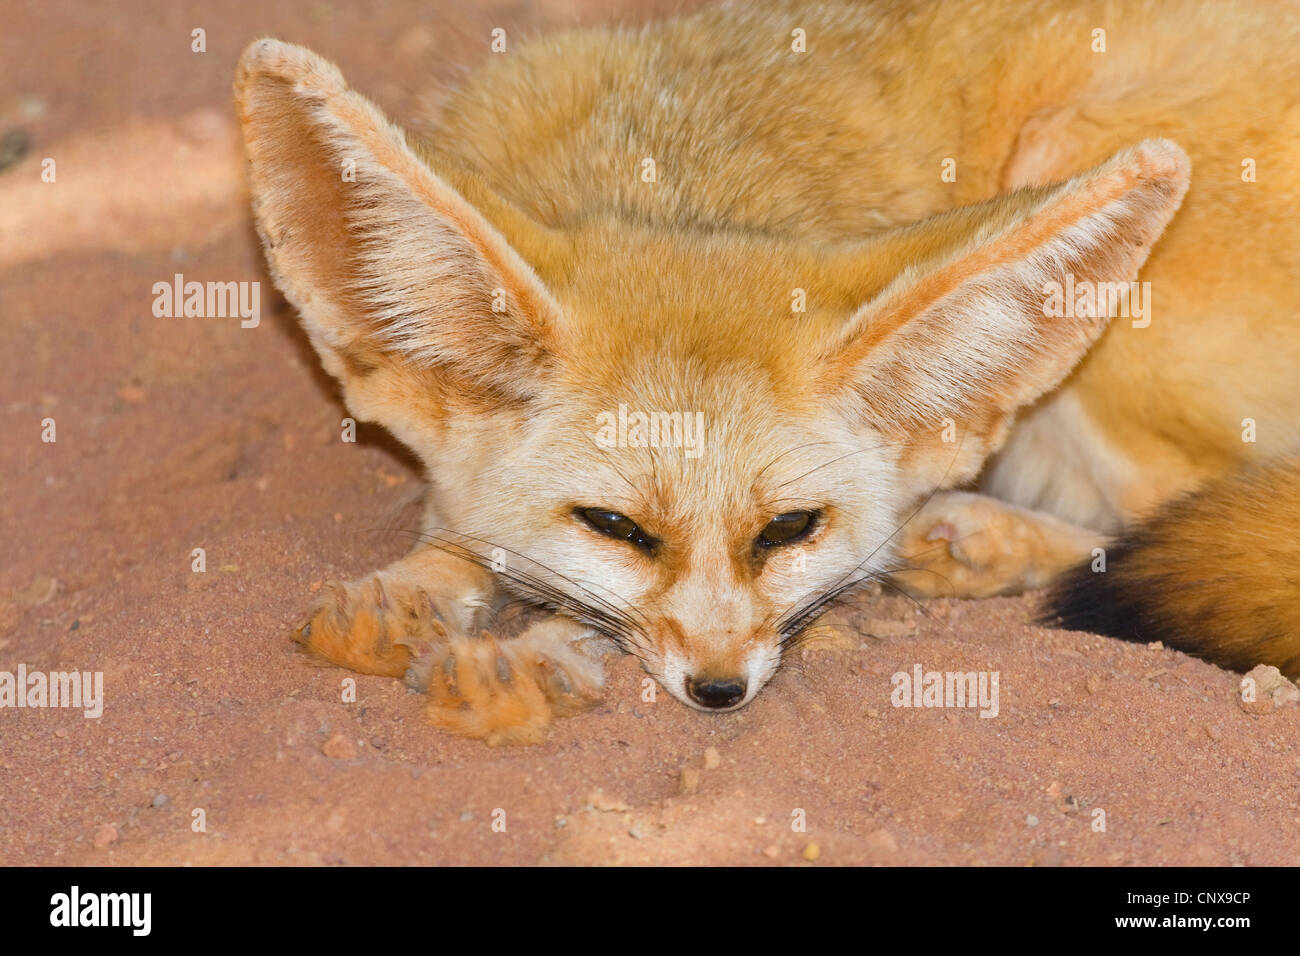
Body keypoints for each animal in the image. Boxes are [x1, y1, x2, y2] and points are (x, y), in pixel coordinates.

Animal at [234, 0, 1300, 744]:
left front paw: (537, 656)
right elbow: (465, 531)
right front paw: (413, 589)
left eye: (788, 531)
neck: (669, 163)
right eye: (616, 528)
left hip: (1069, 157)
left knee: (1180, 505)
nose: (720, 691)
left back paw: (982, 539)